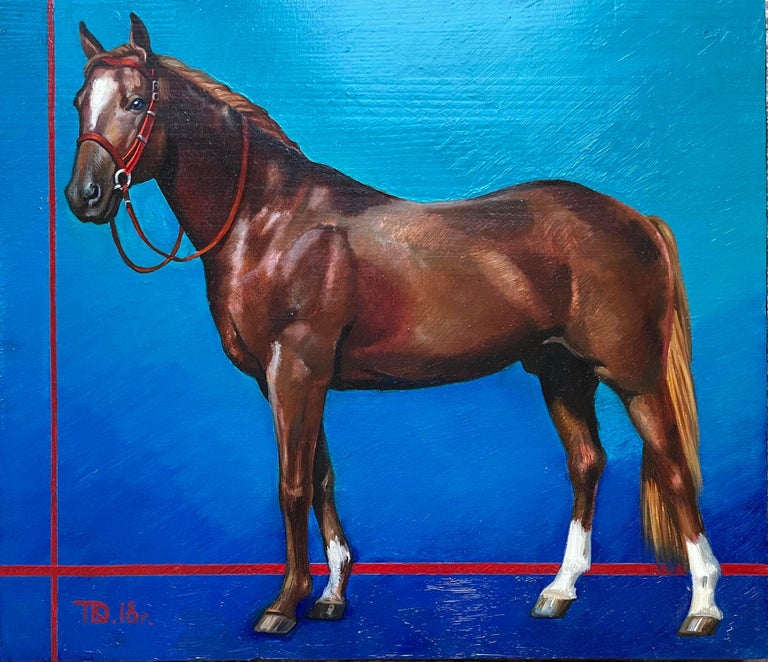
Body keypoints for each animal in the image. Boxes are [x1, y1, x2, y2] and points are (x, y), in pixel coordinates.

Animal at [65, 14, 722, 637]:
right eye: (78, 101)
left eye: (136, 101)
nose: (84, 196)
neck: (274, 223)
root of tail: (636, 218)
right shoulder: (297, 382)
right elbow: (322, 479)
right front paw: (330, 594)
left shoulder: (294, 372)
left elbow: (291, 486)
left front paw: (283, 605)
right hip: (561, 371)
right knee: (587, 462)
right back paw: (559, 591)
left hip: (632, 374)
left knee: (672, 466)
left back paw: (703, 606)